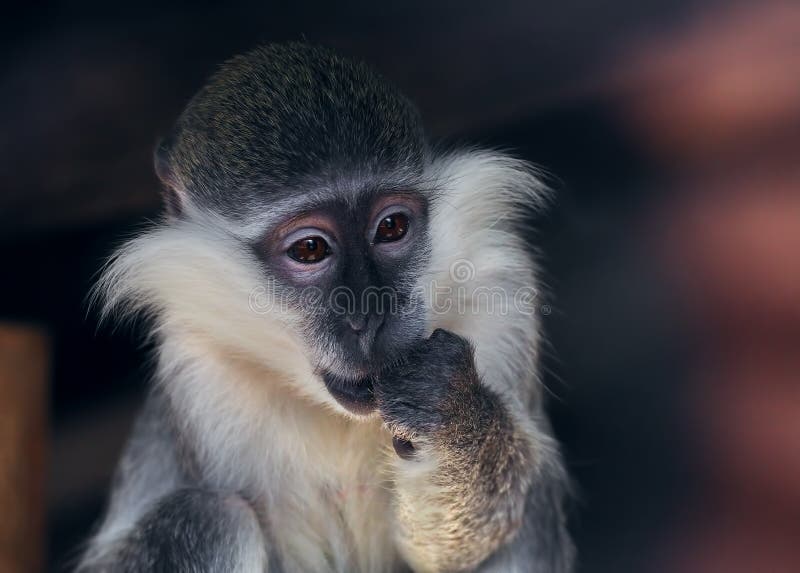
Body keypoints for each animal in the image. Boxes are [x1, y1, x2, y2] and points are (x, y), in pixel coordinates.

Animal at [77, 43, 574, 572]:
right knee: (211, 516)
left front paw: (452, 409)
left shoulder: (500, 299)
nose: (371, 316)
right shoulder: (199, 373)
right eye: (310, 249)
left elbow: (456, 544)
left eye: (392, 227)